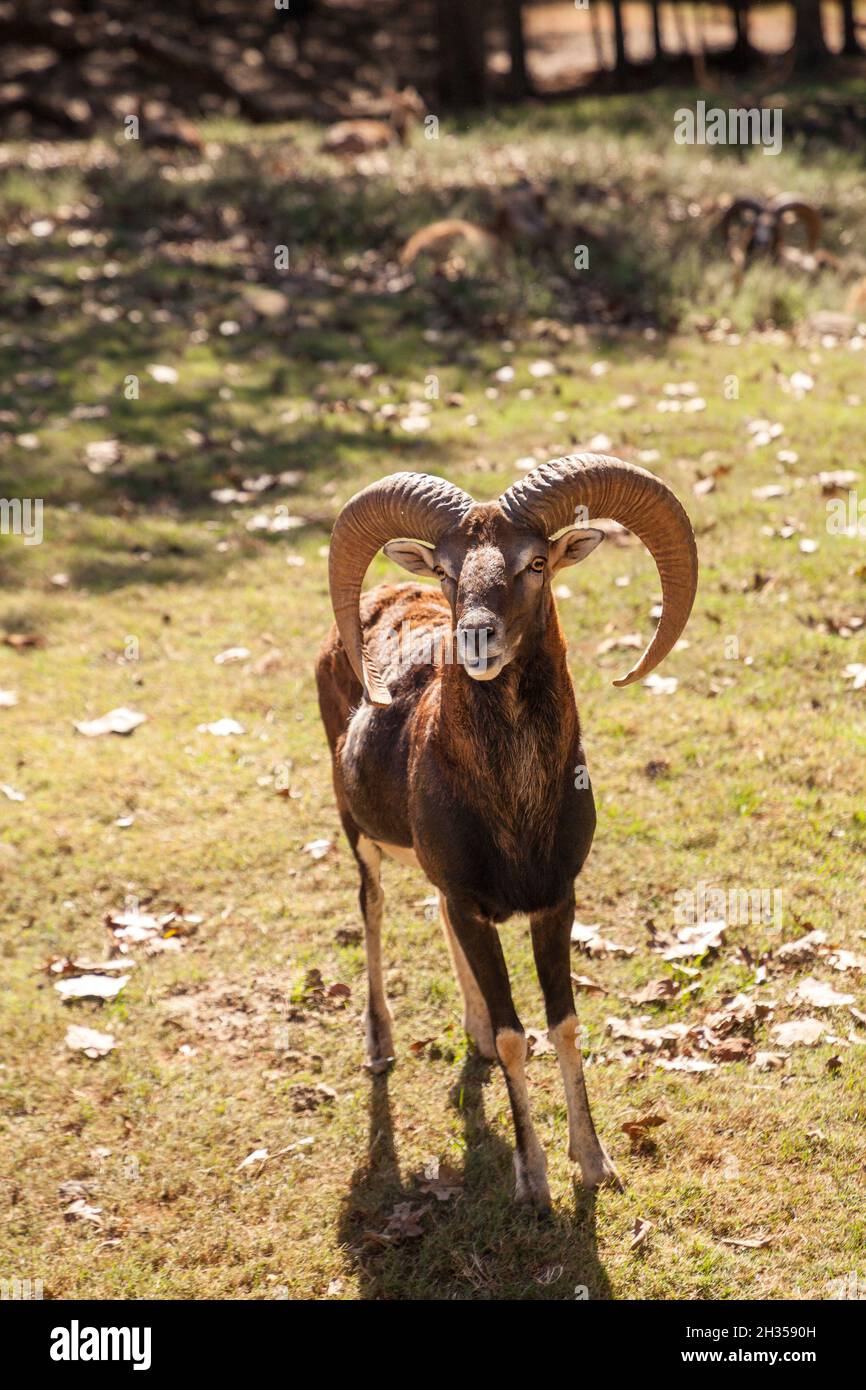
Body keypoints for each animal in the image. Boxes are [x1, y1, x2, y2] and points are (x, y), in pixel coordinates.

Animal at [316, 457, 698, 1209]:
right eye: (446, 568)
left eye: (537, 562)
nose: (476, 640)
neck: (516, 810)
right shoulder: (474, 906)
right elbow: (516, 1033)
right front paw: (534, 1180)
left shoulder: (555, 903)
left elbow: (563, 1025)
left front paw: (597, 1165)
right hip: (356, 832)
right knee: (372, 907)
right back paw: (379, 1045)